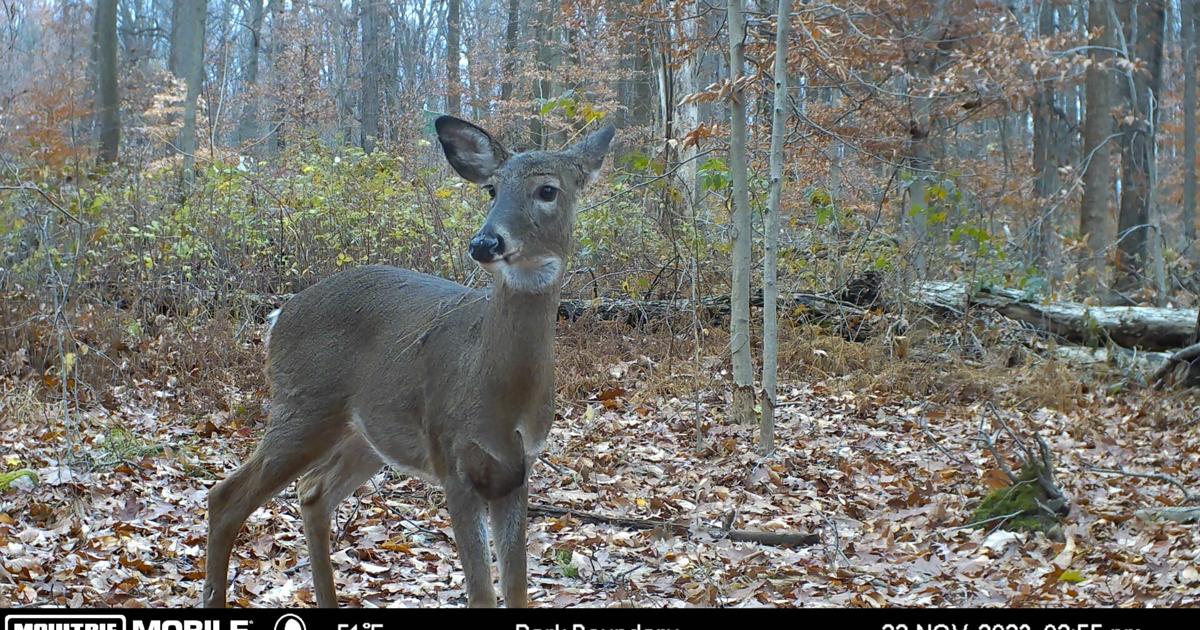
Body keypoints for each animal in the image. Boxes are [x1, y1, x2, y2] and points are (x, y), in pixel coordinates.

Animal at [202, 116, 616, 608]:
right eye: (491, 189)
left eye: (548, 190)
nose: (485, 242)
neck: (498, 390)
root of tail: (279, 316)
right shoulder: (451, 456)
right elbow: (481, 593)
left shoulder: (518, 469)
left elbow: (516, 591)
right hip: (302, 407)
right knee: (225, 496)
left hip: (365, 435)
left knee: (312, 493)